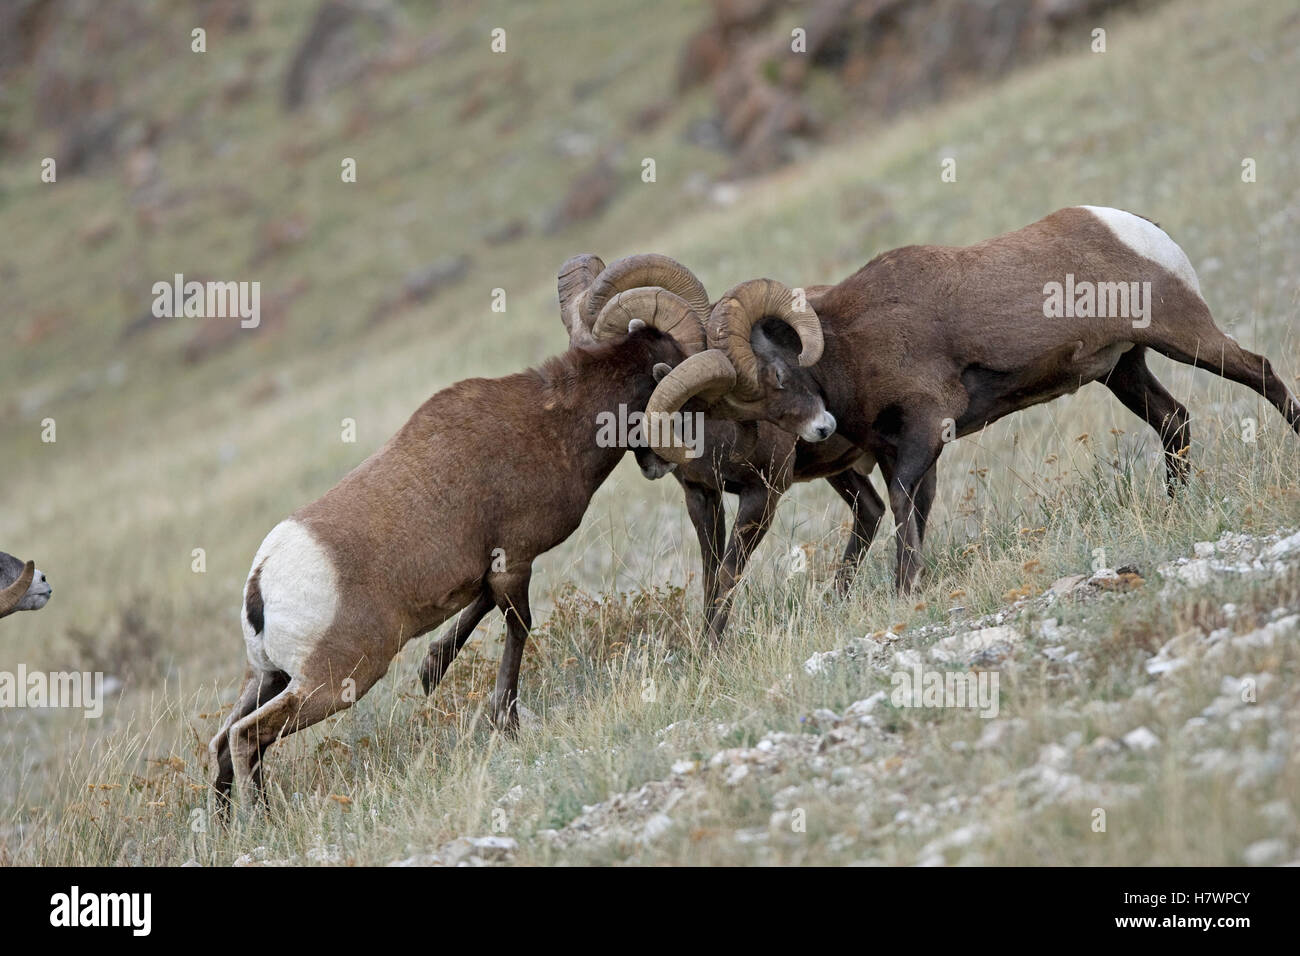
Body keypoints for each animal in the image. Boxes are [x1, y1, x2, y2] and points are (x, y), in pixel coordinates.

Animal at [210, 254, 832, 817]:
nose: (811, 424)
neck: (556, 424)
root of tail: (262, 584)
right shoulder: (516, 561)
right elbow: (519, 629)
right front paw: (504, 723)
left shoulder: (497, 568)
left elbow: (481, 612)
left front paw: (434, 675)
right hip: (337, 681)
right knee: (246, 739)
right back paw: (261, 821)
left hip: (270, 677)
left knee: (222, 741)